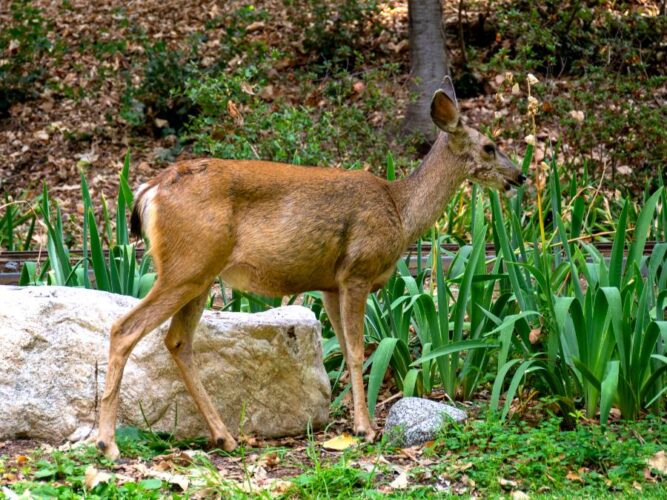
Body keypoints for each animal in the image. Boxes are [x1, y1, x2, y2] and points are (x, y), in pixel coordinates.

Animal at [95, 77, 525, 460]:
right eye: (490, 146)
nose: (519, 176)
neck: (400, 212)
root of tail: (148, 191)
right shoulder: (357, 271)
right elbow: (358, 350)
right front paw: (365, 430)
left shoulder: (330, 284)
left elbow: (349, 348)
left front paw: (362, 424)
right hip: (187, 265)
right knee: (125, 329)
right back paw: (108, 444)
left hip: (199, 274)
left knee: (177, 341)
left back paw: (224, 438)